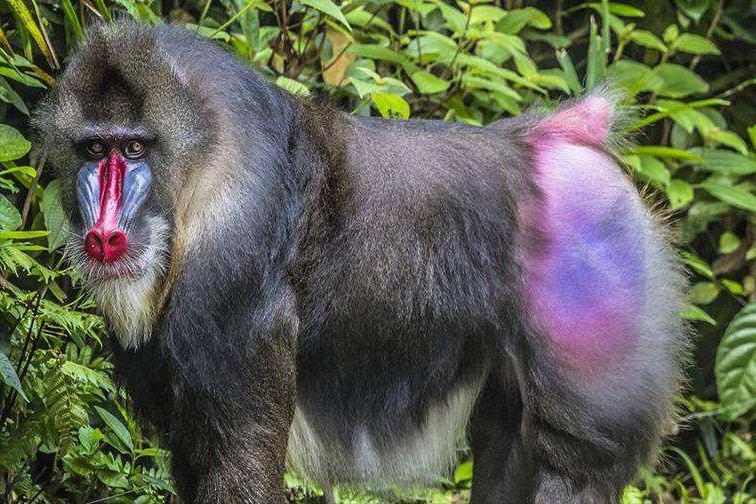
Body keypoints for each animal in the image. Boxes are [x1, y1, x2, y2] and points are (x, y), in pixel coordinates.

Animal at [34, 20, 688, 504]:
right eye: (94, 150)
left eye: (134, 149)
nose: (104, 237)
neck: (203, 173)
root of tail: (556, 138)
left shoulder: (239, 314)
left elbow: (240, 463)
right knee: (507, 445)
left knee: (571, 460)